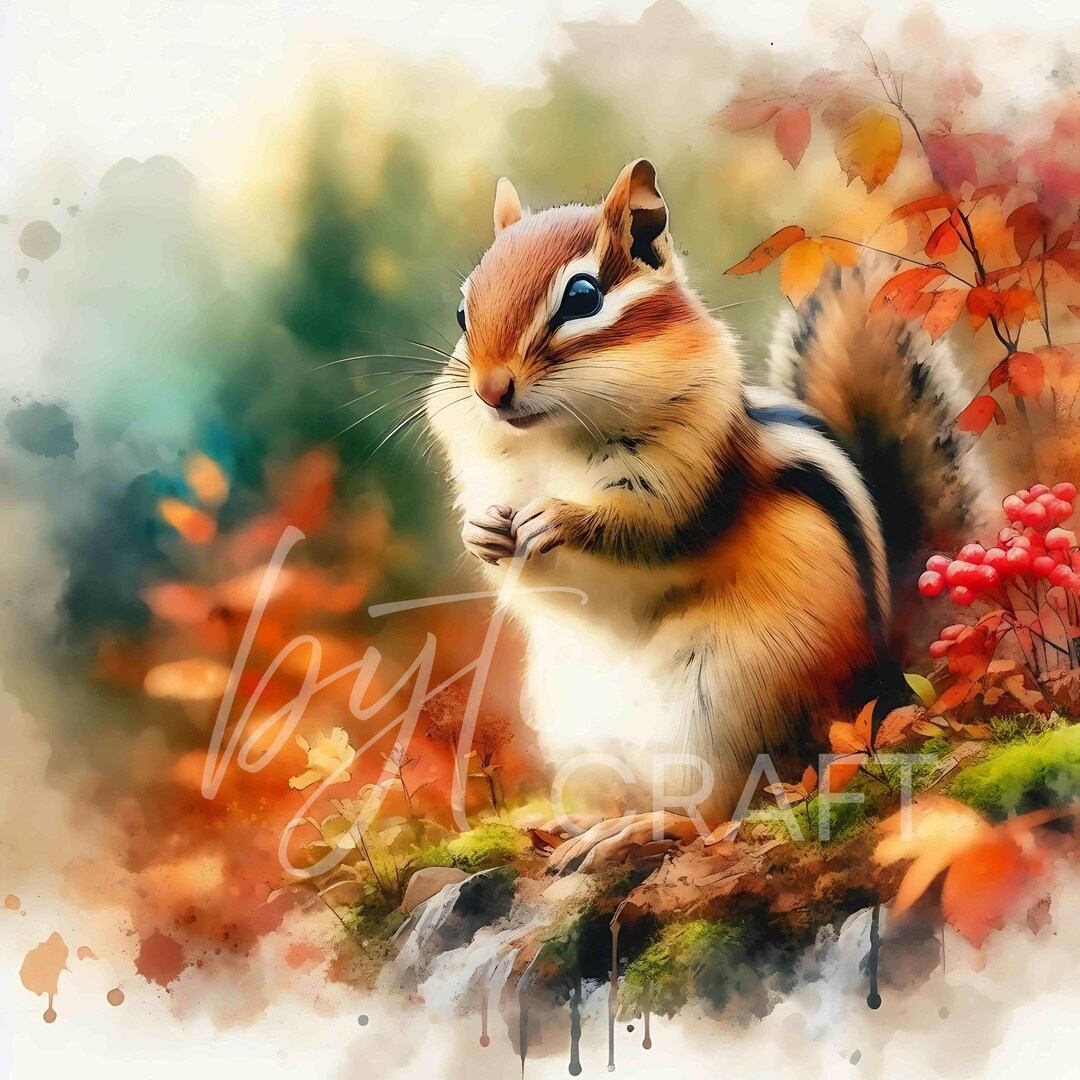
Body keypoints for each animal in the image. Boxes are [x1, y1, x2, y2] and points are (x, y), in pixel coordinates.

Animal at [426, 159, 990, 865]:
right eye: (461, 312)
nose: (489, 390)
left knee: (723, 811)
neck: (552, 439)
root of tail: (886, 685)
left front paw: (558, 518)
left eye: (582, 297)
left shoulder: (696, 475)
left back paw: (643, 827)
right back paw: (581, 822)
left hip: (726, 706)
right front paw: (481, 532)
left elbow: (650, 532)